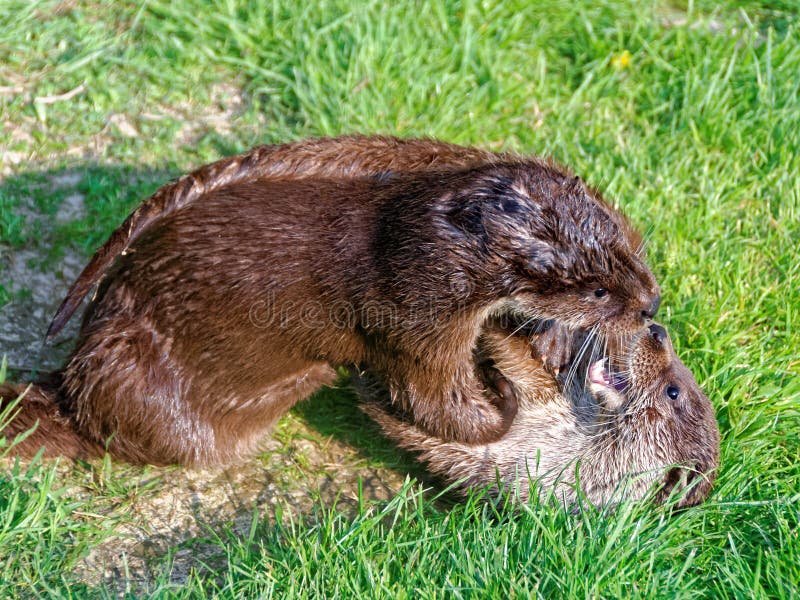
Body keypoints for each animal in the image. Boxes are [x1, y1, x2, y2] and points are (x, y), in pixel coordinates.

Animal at [0, 136, 660, 466]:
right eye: (599, 292)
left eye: (631, 247)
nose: (650, 305)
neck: (402, 241)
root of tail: (72, 386)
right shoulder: (412, 319)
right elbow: (436, 403)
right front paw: (500, 393)